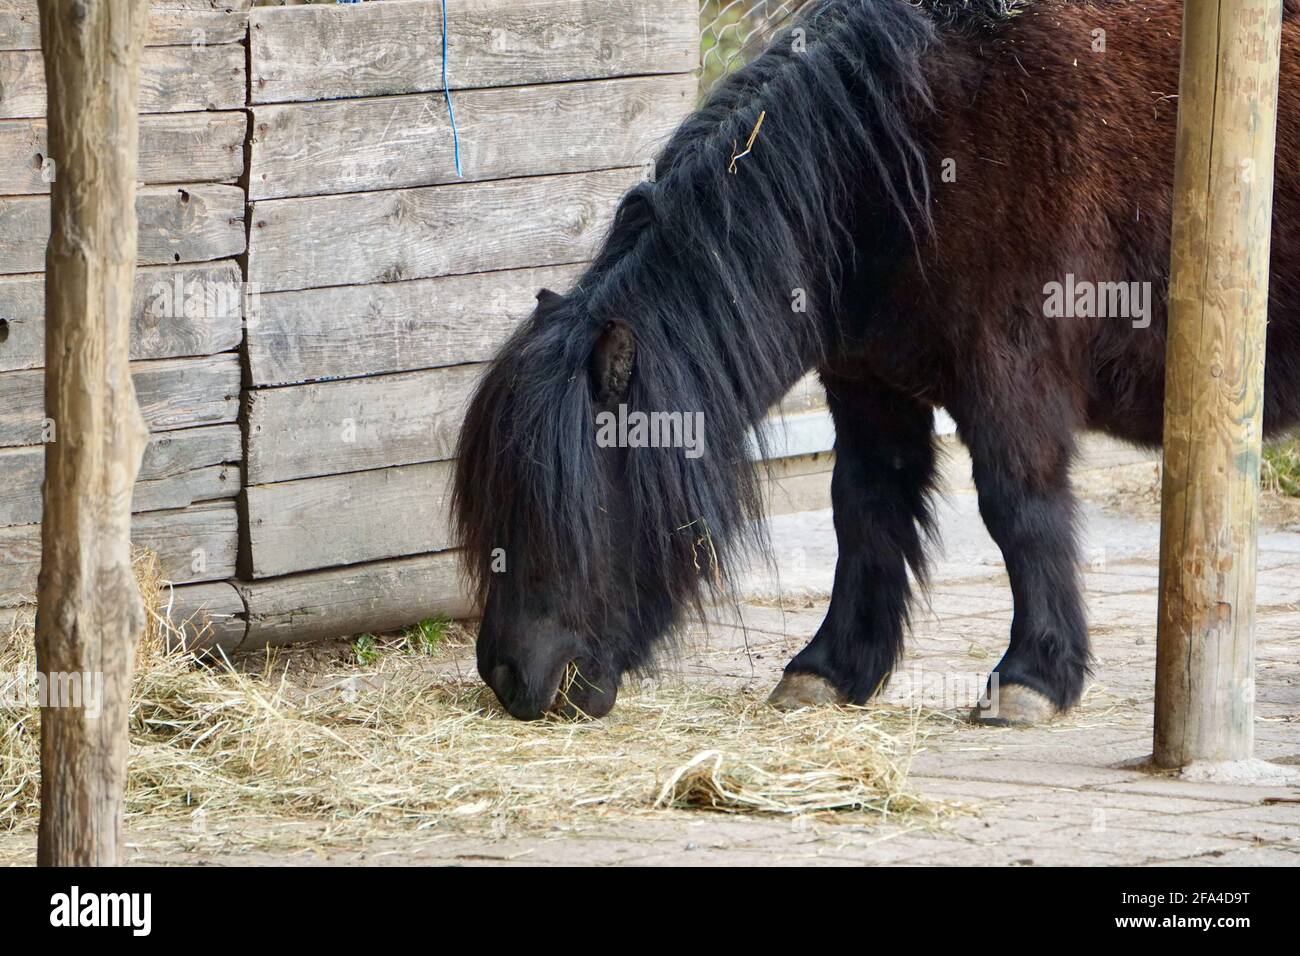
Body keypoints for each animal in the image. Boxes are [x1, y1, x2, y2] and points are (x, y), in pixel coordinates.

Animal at [453, 0, 1300, 723]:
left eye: (569, 506)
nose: (507, 675)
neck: (910, 147)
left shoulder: (1009, 375)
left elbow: (1017, 508)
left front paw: (1033, 676)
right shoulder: (870, 386)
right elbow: (864, 507)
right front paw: (831, 668)